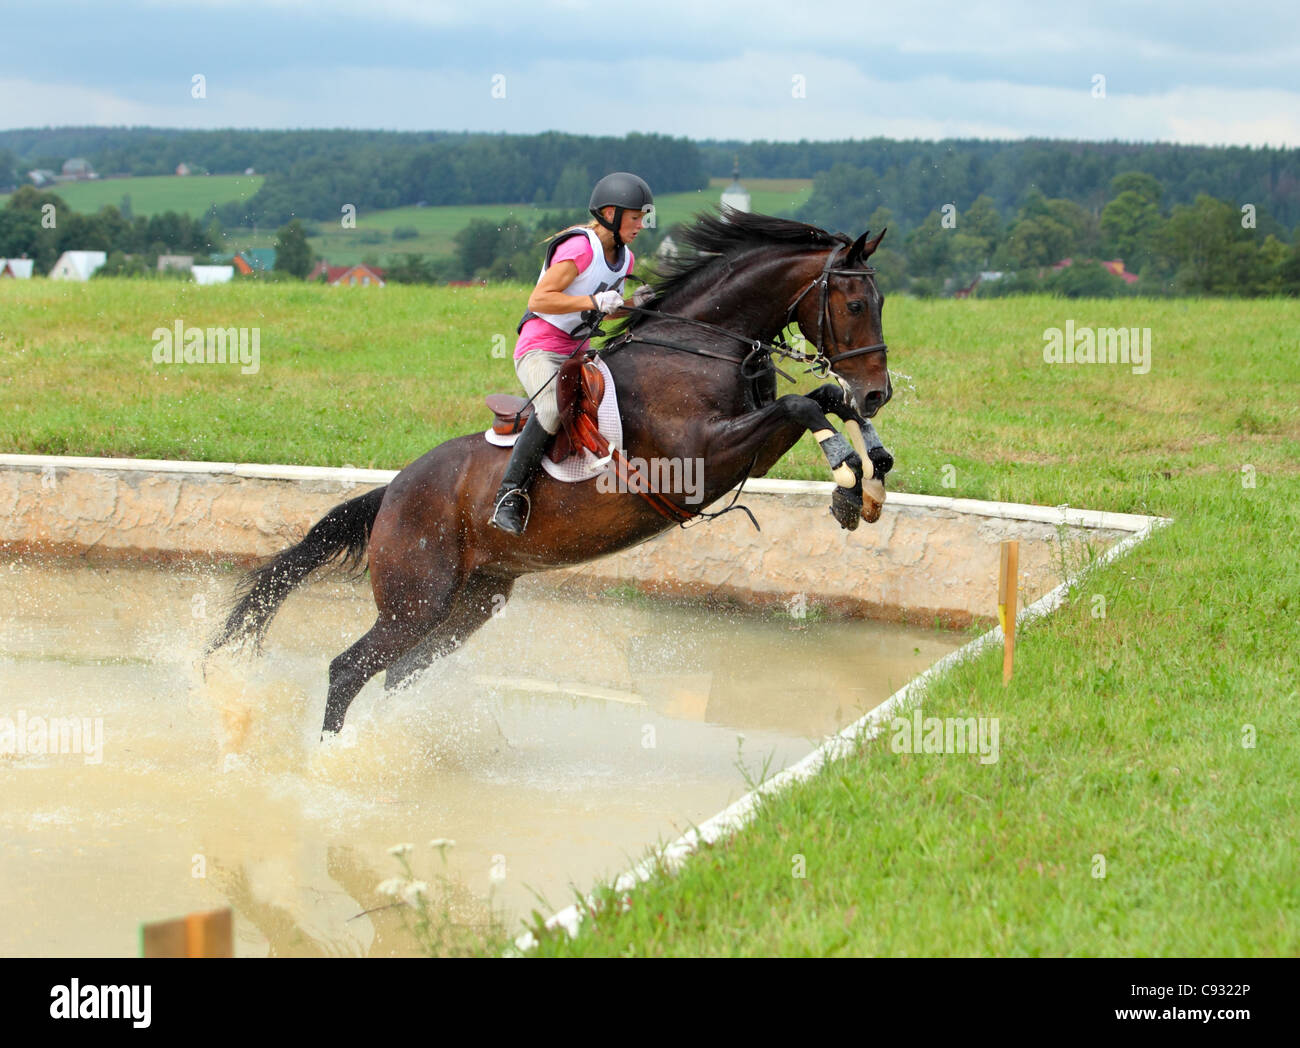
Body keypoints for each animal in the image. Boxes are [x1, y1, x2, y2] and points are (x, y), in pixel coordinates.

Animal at [207, 209, 895, 737]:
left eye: (882, 302)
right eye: (856, 302)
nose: (881, 391)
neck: (698, 347)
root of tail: (393, 492)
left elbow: (825, 399)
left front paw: (872, 474)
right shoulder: (699, 459)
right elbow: (802, 404)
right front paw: (844, 474)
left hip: (471, 603)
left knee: (400, 671)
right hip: (416, 599)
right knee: (348, 669)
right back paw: (331, 762)